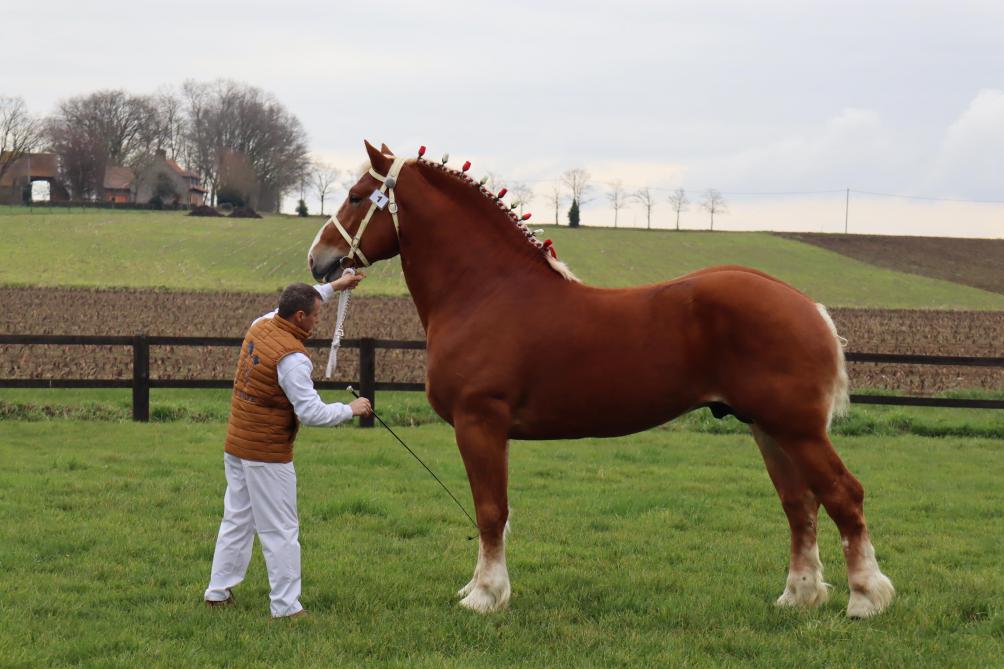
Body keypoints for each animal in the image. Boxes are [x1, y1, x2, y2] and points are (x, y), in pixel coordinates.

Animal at [307, 141, 895, 618]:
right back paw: (798, 596)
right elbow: (491, 510)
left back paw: (866, 598)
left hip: (797, 429)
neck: (486, 292)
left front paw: (486, 595)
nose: (319, 260)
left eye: (356, 197)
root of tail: (808, 306)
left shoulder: (480, 422)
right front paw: (480, 588)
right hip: (767, 429)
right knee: (800, 506)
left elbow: (491, 510)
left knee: (844, 494)